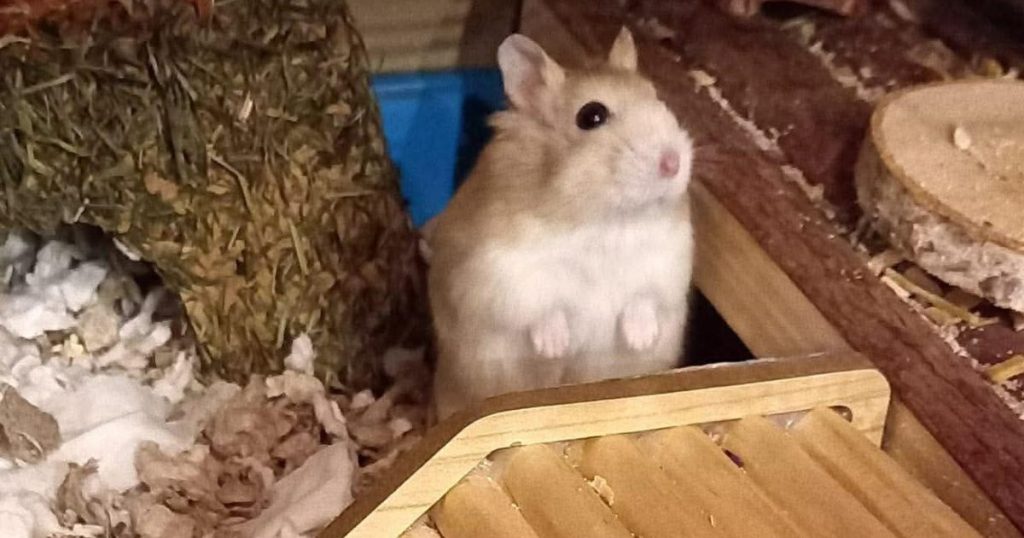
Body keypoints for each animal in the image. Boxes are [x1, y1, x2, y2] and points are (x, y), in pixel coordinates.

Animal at [427, 27, 695, 420]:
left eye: (657, 97)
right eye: (591, 116)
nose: (673, 163)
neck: (605, 216)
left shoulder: (666, 262)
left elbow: (643, 297)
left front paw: (641, 339)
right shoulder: (506, 271)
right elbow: (545, 308)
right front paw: (556, 347)